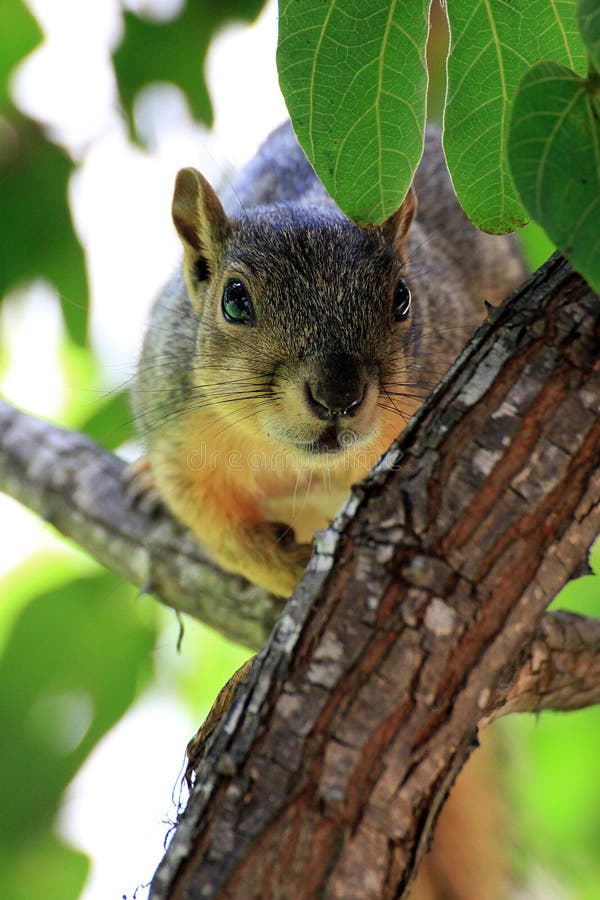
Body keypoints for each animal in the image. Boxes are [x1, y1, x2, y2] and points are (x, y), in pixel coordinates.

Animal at [131, 122, 524, 598]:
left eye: (402, 298)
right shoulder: (179, 433)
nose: (338, 397)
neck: (294, 460)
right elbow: (221, 531)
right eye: (235, 300)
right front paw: (289, 567)